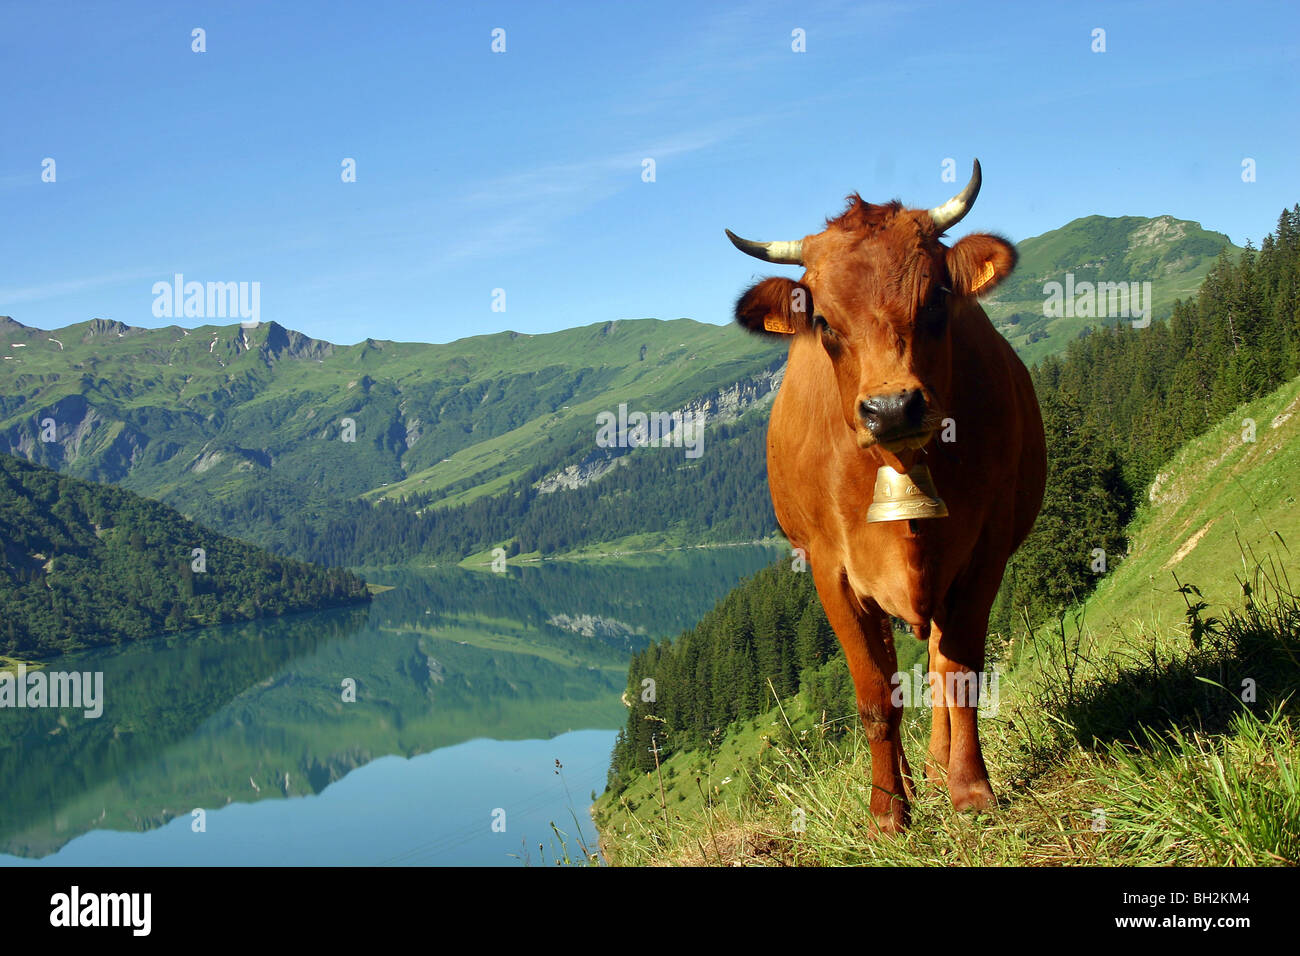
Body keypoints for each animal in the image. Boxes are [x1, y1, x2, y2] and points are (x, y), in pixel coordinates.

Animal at [726, 160, 1046, 832]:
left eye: (937, 299)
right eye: (824, 323)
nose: (893, 407)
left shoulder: (984, 549)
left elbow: (959, 674)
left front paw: (970, 790)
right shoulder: (830, 571)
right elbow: (876, 695)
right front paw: (887, 813)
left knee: (937, 662)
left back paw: (937, 767)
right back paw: (905, 780)